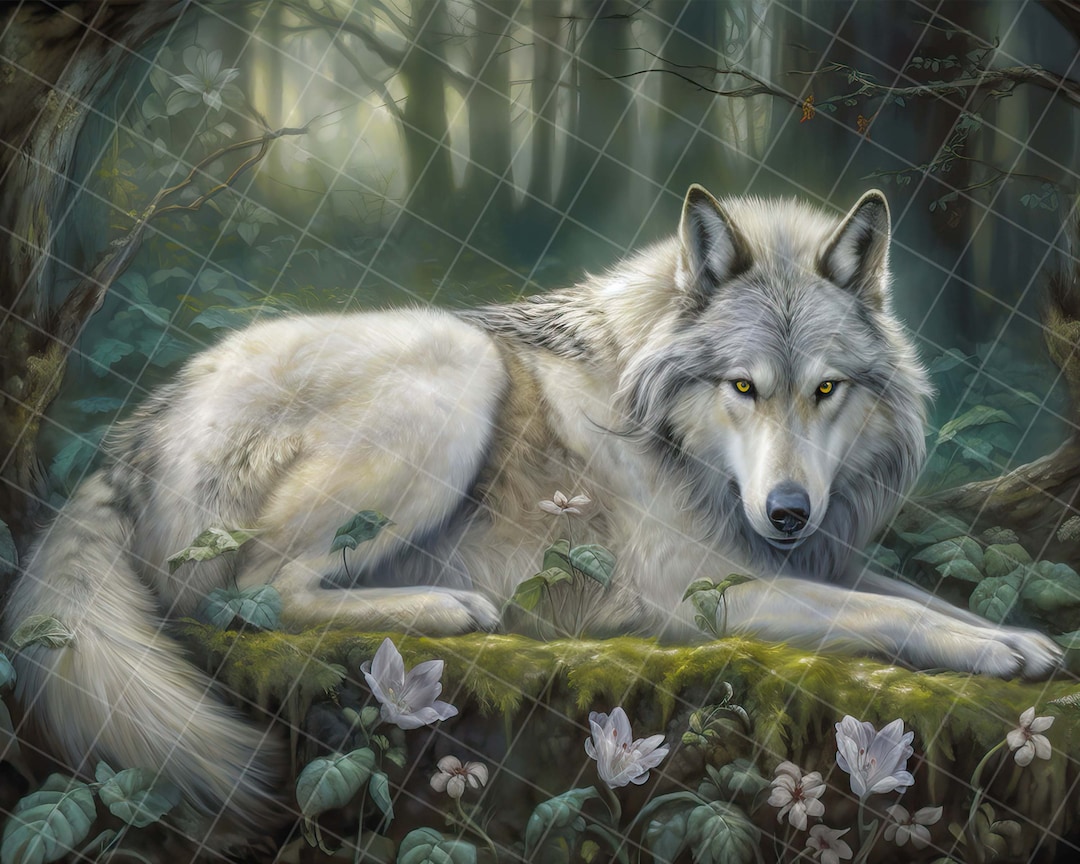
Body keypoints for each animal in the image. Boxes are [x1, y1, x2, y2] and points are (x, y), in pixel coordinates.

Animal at [3, 185, 1061, 830]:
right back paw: (447, 609)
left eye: (826, 390)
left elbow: (916, 597)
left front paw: (1019, 641)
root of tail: (133, 435)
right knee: (252, 598)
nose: (791, 513)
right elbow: (881, 612)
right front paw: (993, 651)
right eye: (744, 388)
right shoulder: (705, 596)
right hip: (453, 371)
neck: (663, 423)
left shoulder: (806, 560)